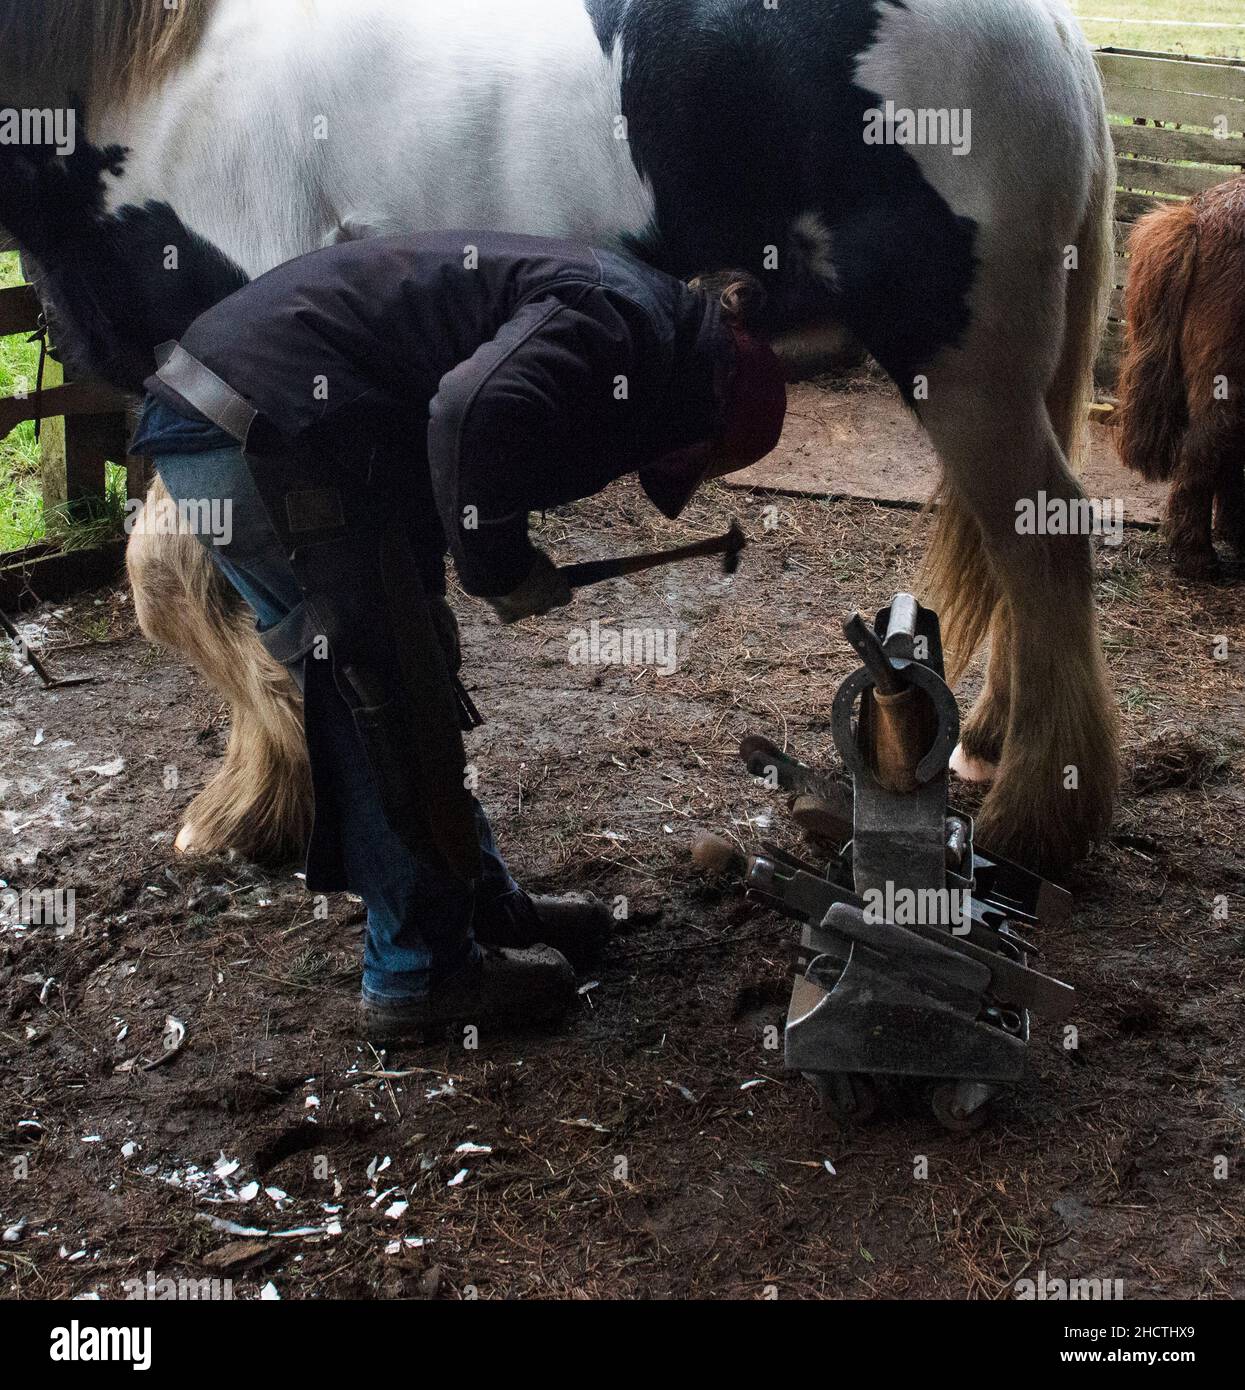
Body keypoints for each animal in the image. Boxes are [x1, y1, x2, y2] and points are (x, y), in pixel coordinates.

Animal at [0, 0, 1120, 871]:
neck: (169, 82)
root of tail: (1058, 35)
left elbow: (170, 582)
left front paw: (249, 804)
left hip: (965, 368)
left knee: (1044, 544)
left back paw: (1037, 815)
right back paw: (994, 742)